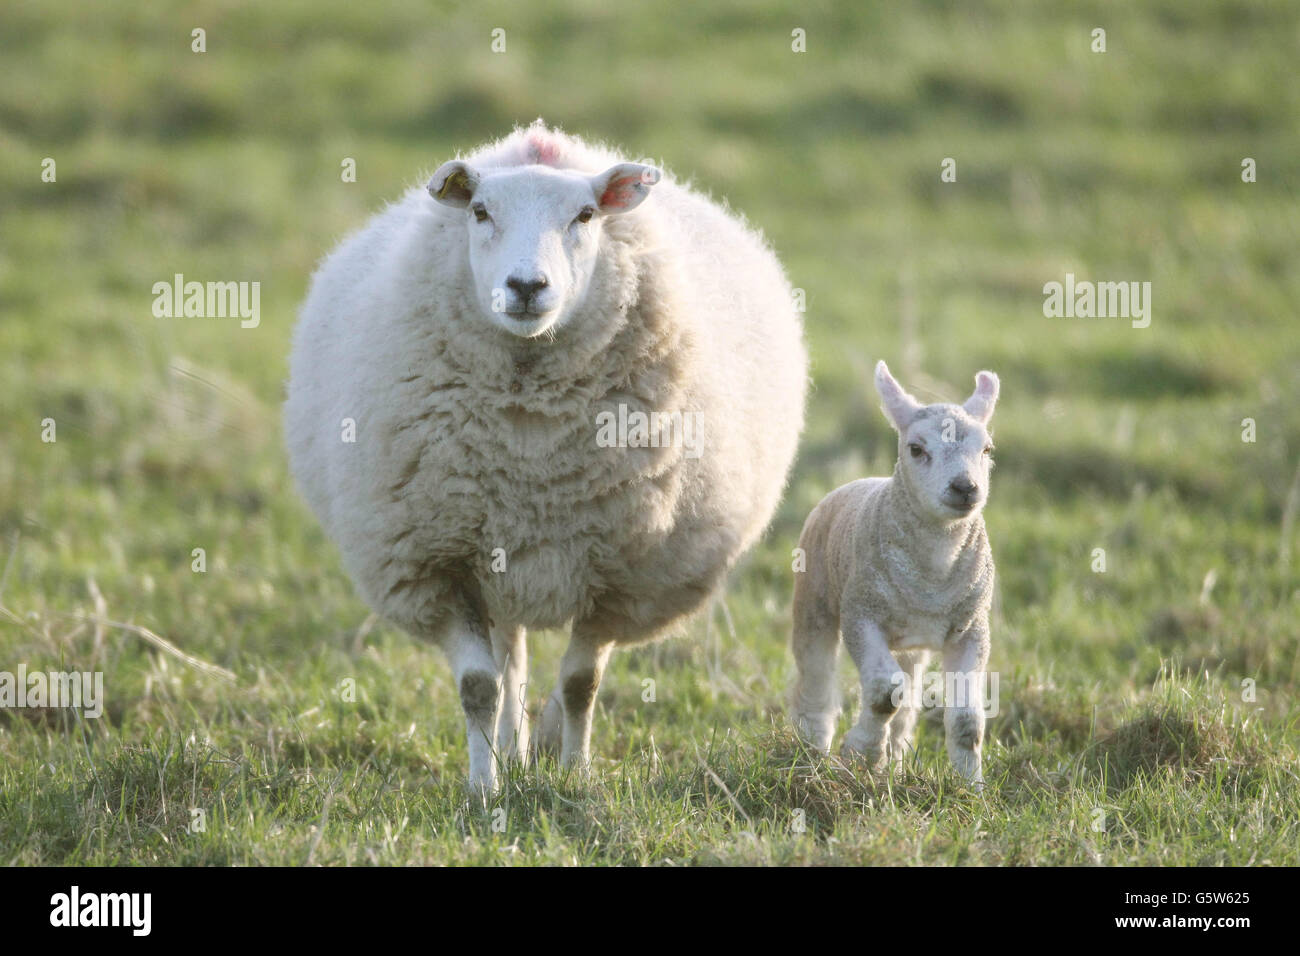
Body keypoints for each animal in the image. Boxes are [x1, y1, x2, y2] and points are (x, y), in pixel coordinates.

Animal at [284, 122, 807, 795]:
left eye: (585, 215)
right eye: (480, 211)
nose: (527, 286)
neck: (530, 433)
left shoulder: (619, 571)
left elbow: (583, 684)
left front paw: (575, 773)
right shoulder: (441, 565)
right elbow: (479, 687)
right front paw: (484, 788)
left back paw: (544, 739)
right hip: (497, 560)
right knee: (511, 660)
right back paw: (513, 747)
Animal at [790, 361, 999, 785]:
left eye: (986, 450)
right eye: (916, 449)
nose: (965, 488)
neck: (934, 573)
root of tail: (861, 480)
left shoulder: (972, 628)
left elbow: (968, 721)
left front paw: (972, 787)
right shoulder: (861, 613)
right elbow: (884, 692)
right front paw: (860, 751)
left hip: (912, 645)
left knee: (908, 701)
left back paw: (896, 763)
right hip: (814, 599)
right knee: (815, 683)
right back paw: (811, 753)